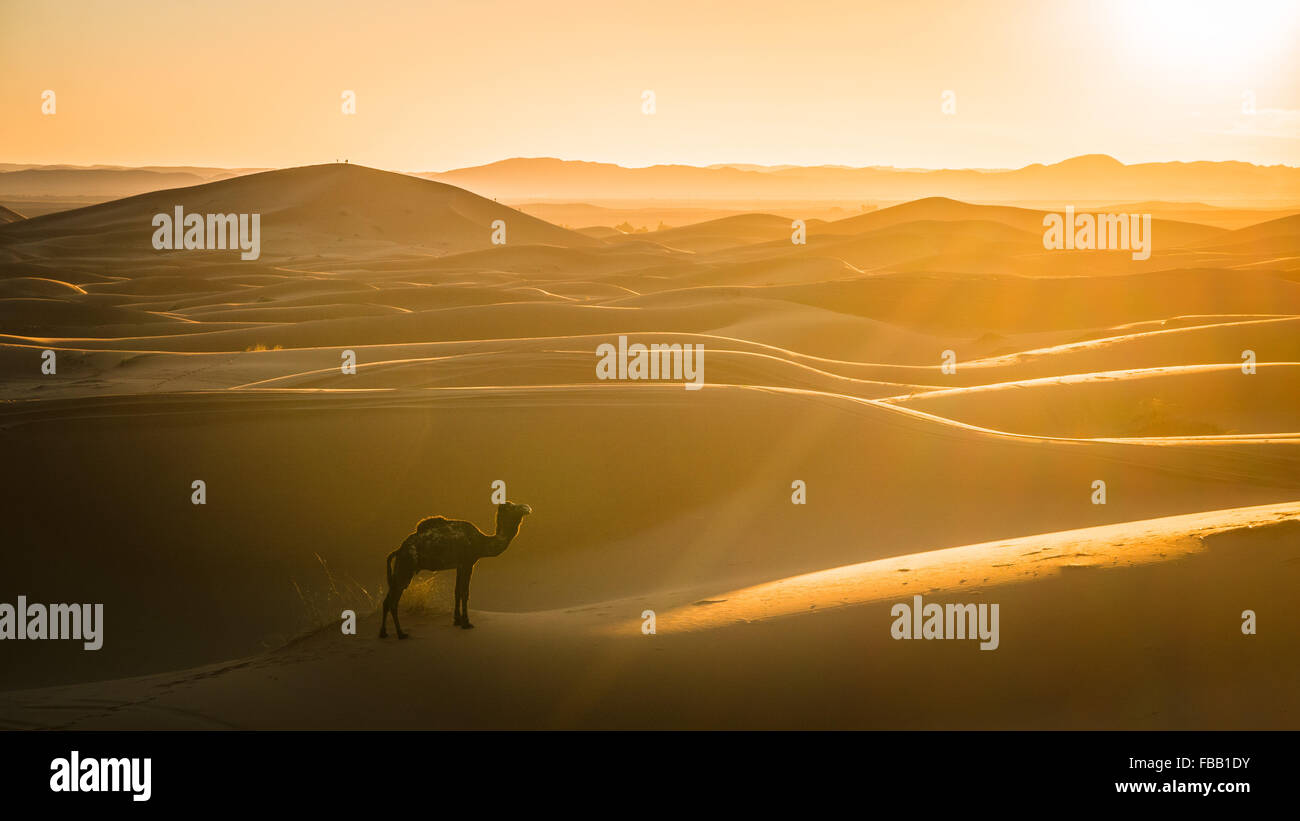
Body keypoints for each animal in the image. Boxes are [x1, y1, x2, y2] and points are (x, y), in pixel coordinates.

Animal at [380, 501, 532, 638]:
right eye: (512, 506)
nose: (527, 507)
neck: (481, 542)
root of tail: (398, 550)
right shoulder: (468, 563)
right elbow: (465, 592)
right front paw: (466, 623)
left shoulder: (459, 565)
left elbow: (457, 591)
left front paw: (457, 620)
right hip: (406, 568)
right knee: (393, 601)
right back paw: (401, 633)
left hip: (400, 569)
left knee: (387, 600)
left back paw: (384, 633)